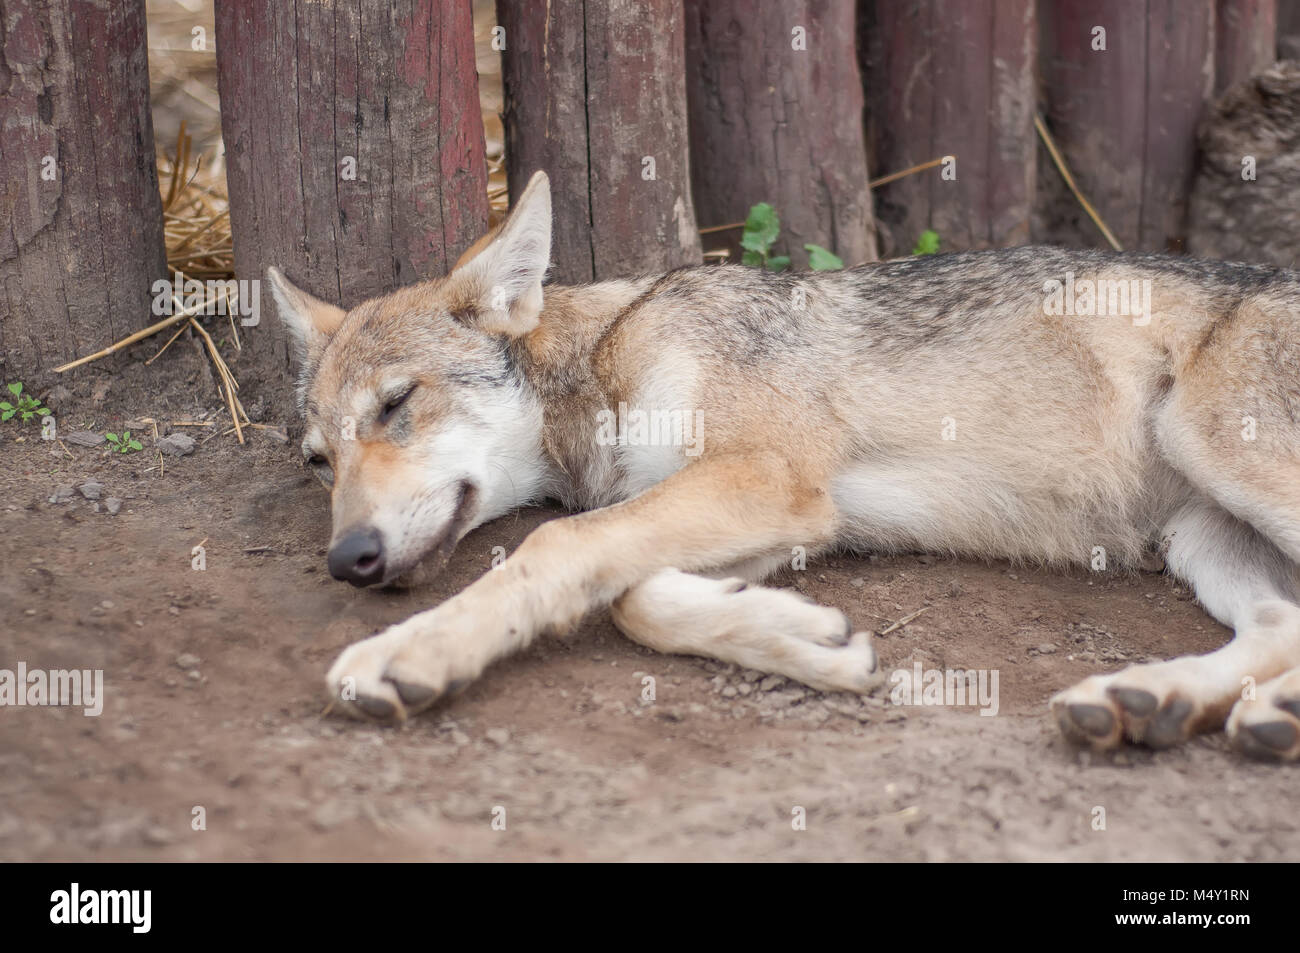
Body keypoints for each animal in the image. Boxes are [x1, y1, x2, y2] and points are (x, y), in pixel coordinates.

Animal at [268, 171, 1300, 761]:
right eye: (319, 461)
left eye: (396, 405)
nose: (347, 559)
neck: (608, 351)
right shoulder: (789, 513)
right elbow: (635, 597)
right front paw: (807, 639)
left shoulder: (766, 478)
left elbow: (557, 548)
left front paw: (409, 654)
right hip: (1203, 535)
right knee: (1281, 626)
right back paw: (1162, 702)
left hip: (1215, 446)